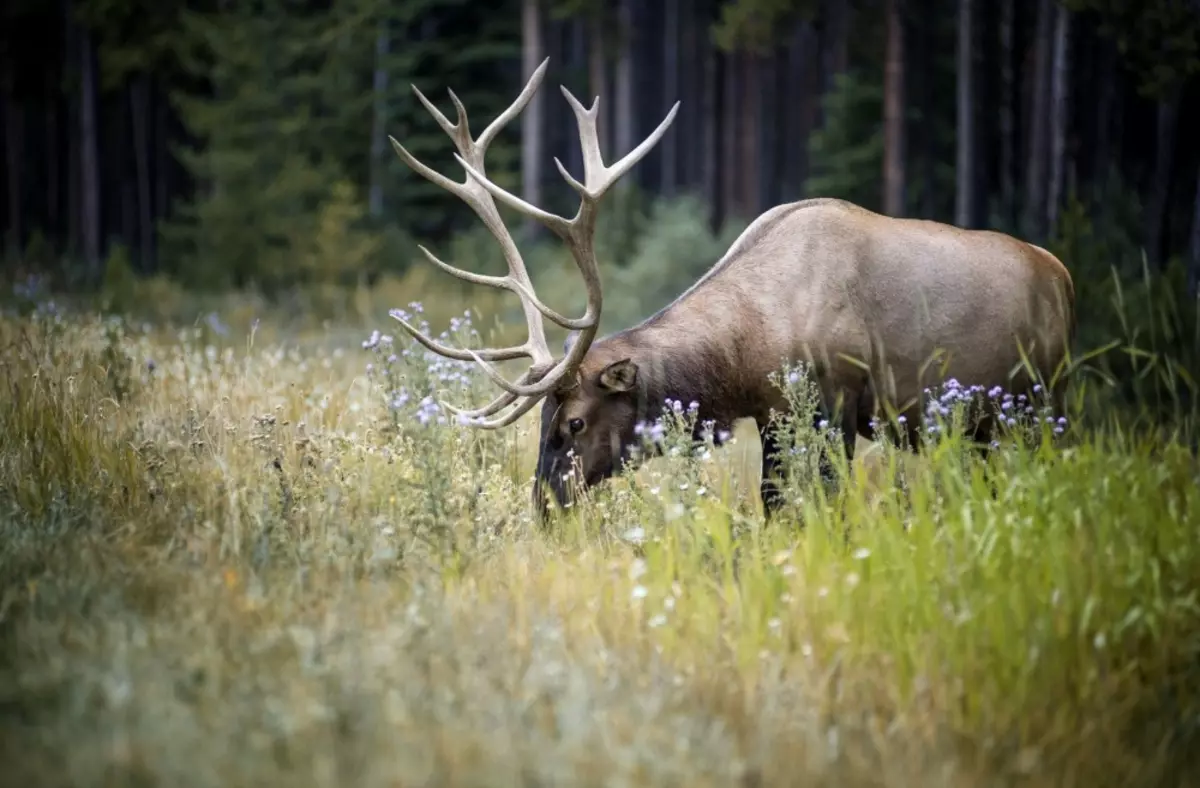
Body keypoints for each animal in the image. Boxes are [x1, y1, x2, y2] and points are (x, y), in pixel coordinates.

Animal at [386, 58, 1080, 520]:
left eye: (576, 422)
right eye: (541, 422)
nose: (545, 505)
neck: (748, 349)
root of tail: (1064, 277)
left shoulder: (833, 401)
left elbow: (821, 506)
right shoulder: (771, 416)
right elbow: (773, 505)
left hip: (1045, 401)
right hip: (987, 426)